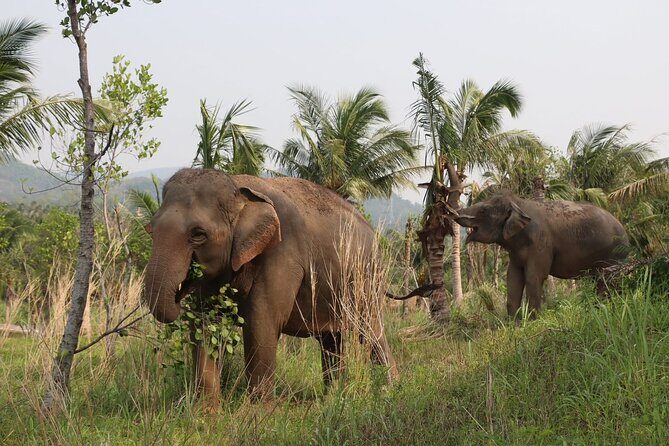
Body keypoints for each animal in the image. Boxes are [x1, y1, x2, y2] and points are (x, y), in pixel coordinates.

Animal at [143, 168, 398, 405]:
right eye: (151, 229)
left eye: (198, 234)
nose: (180, 293)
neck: (238, 187)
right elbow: (205, 322)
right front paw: (206, 411)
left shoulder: (282, 254)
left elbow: (261, 322)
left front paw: (258, 412)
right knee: (331, 341)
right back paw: (332, 399)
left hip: (368, 282)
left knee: (371, 332)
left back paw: (389, 391)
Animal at [454, 193, 629, 316]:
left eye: (483, 210)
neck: (519, 203)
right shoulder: (516, 252)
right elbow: (513, 277)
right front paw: (513, 326)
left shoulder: (541, 242)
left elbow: (534, 277)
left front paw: (534, 322)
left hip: (614, 254)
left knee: (607, 281)